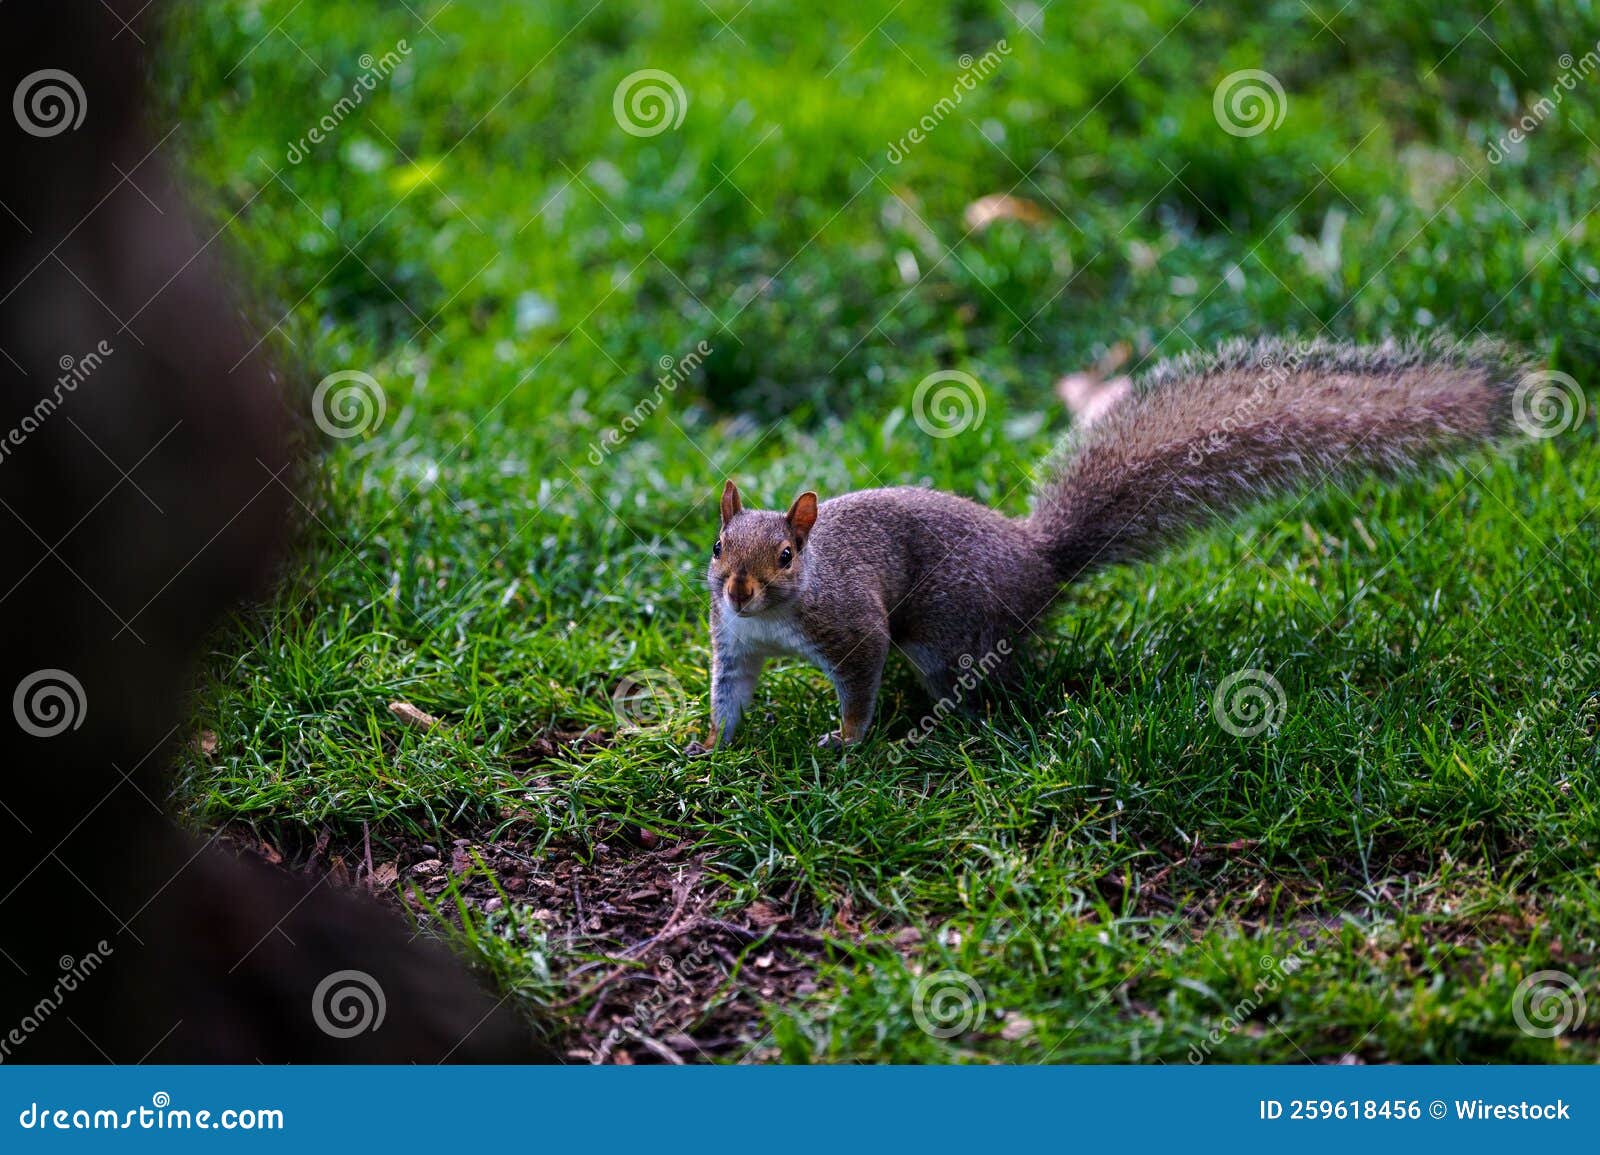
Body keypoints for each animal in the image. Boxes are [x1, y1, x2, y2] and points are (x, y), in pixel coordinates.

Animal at [704, 336, 1529, 751]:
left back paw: (955, 727)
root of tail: (1041, 564)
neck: (776, 616)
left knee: (992, 688)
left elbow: (860, 683)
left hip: (952, 634)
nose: (738, 589)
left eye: (786, 556)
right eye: (716, 546)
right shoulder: (735, 643)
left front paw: (845, 740)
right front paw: (711, 746)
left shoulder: (850, 626)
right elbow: (729, 694)